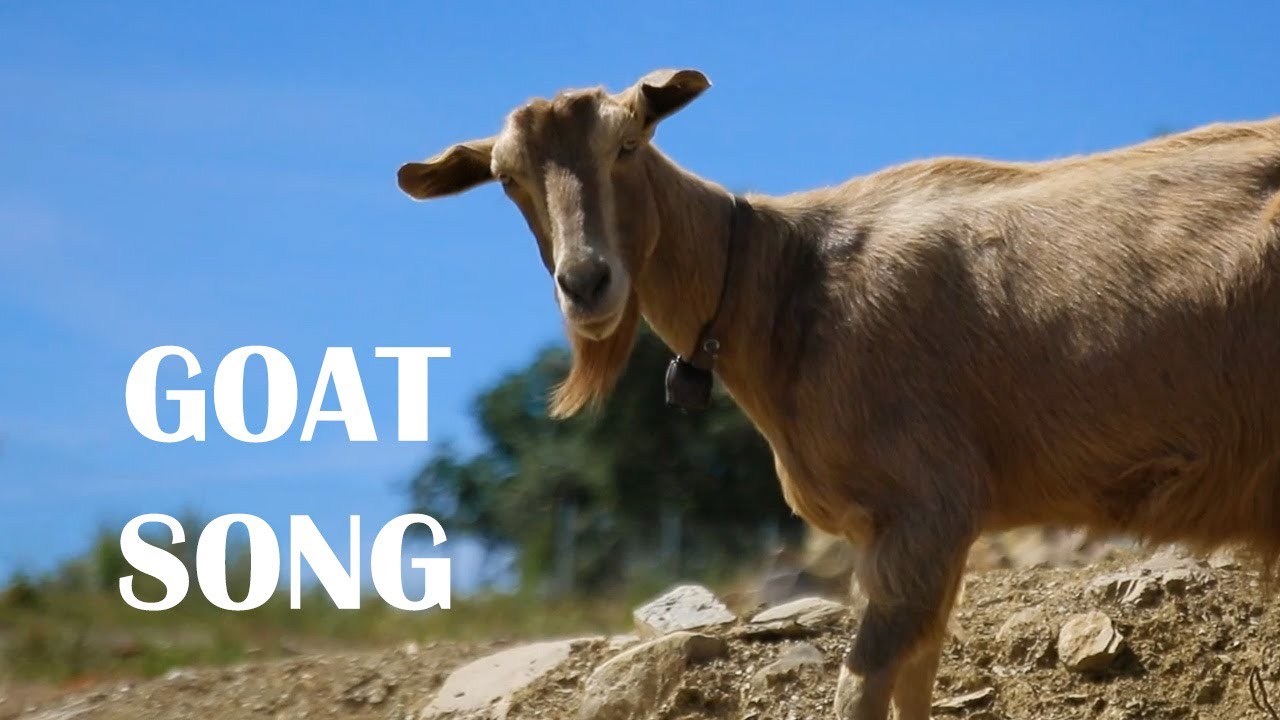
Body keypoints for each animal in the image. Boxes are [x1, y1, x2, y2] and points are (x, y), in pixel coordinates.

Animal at [397, 69, 1280, 720]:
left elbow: (862, 686)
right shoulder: (903, 533)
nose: (586, 283)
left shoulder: (926, 508)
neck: (780, 281)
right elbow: (915, 682)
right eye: (507, 179)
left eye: (629, 141)